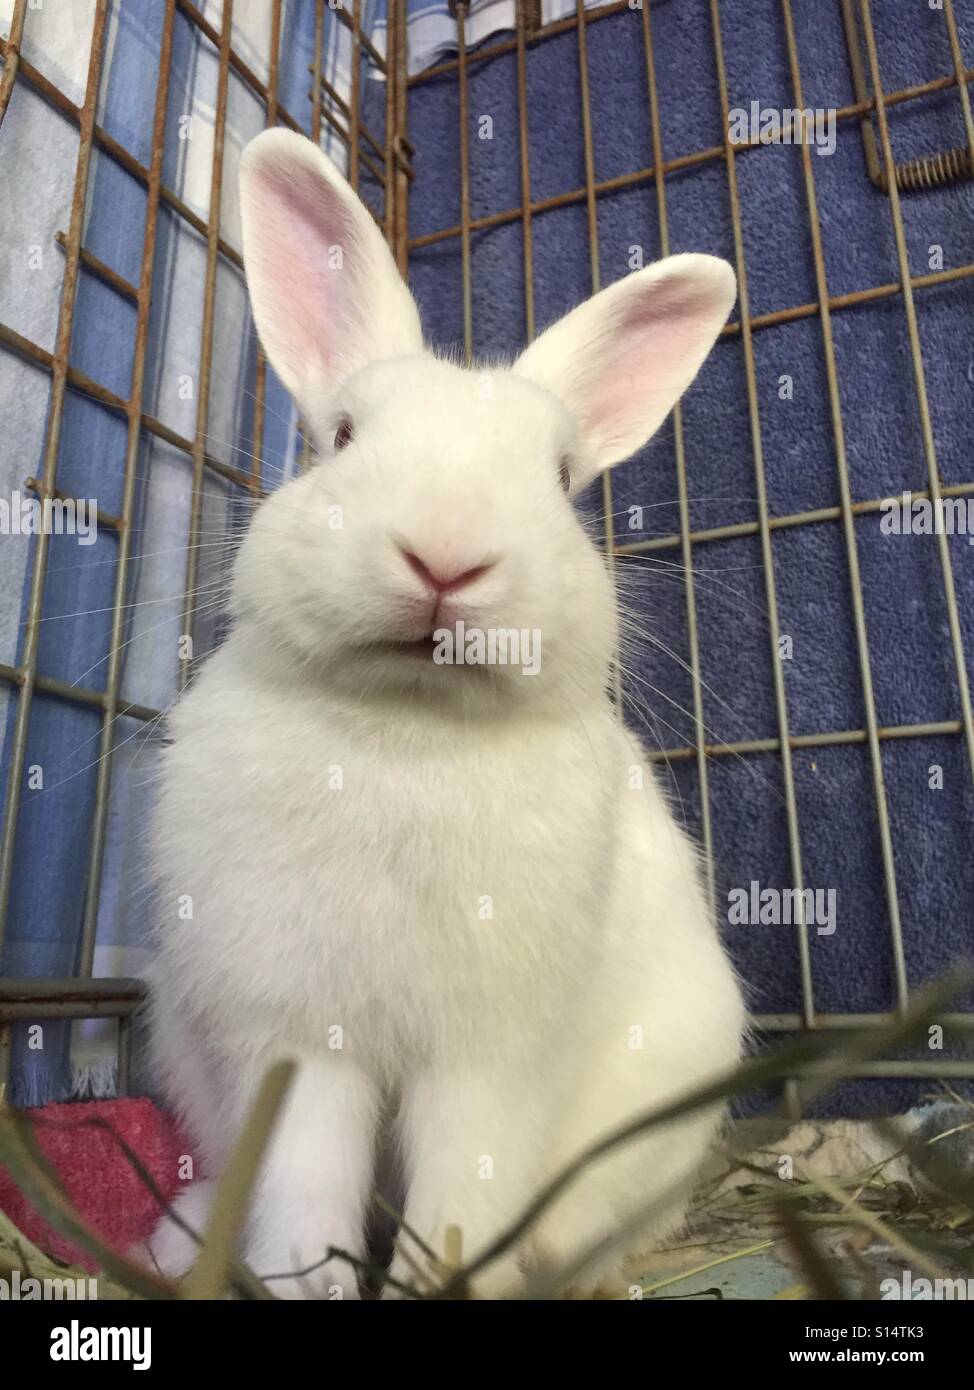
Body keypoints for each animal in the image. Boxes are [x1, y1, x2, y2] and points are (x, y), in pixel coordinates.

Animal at [143, 127, 745, 1300]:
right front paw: (304, 1282)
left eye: (560, 478)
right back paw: (177, 1239)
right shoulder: (295, 1035)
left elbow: (462, 1194)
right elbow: (302, 1193)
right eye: (338, 436)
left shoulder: (488, 1058)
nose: (445, 554)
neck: (407, 728)